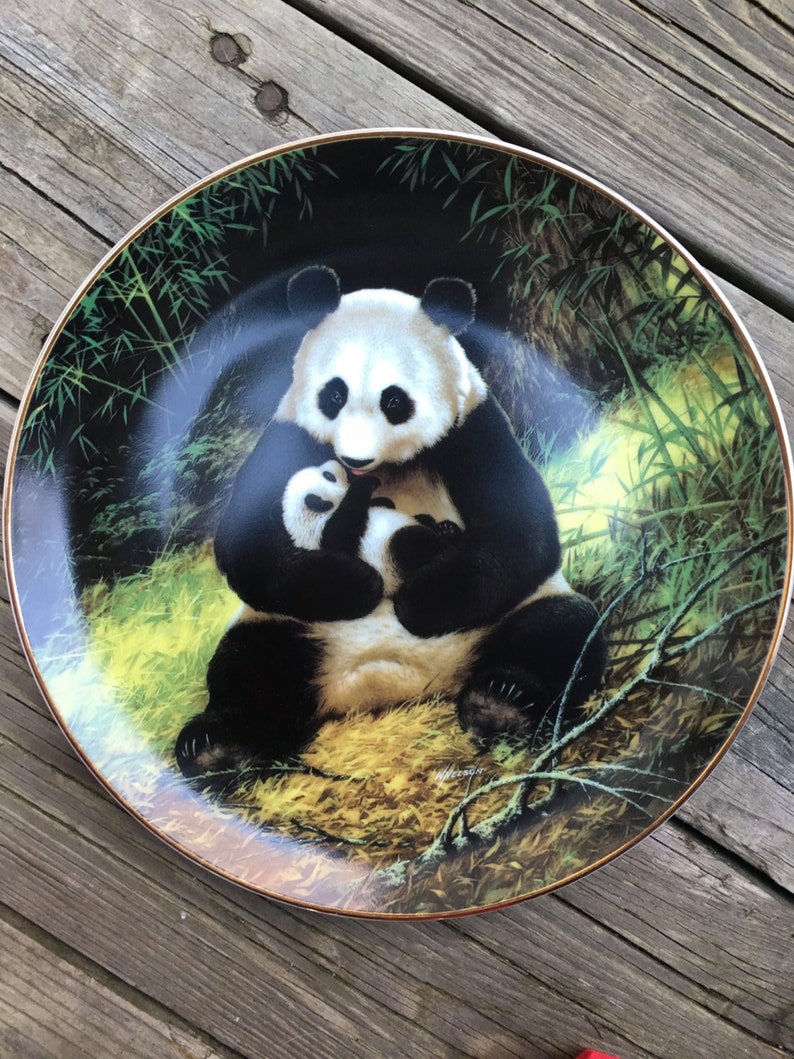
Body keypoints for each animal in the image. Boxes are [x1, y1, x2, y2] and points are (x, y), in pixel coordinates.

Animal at [175, 266, 607, 778]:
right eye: (334, 394)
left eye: (395, 401)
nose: (354, 459)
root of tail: (390, 681)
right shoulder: (289, 437)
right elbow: (247, 548)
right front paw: (356, 584)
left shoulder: (472, 430)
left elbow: (523, 533)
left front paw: (416, 603)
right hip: (293, 628)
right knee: (249, 665)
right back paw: (218, 746)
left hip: (507, 615)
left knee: (559, 629)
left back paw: (502, 702)